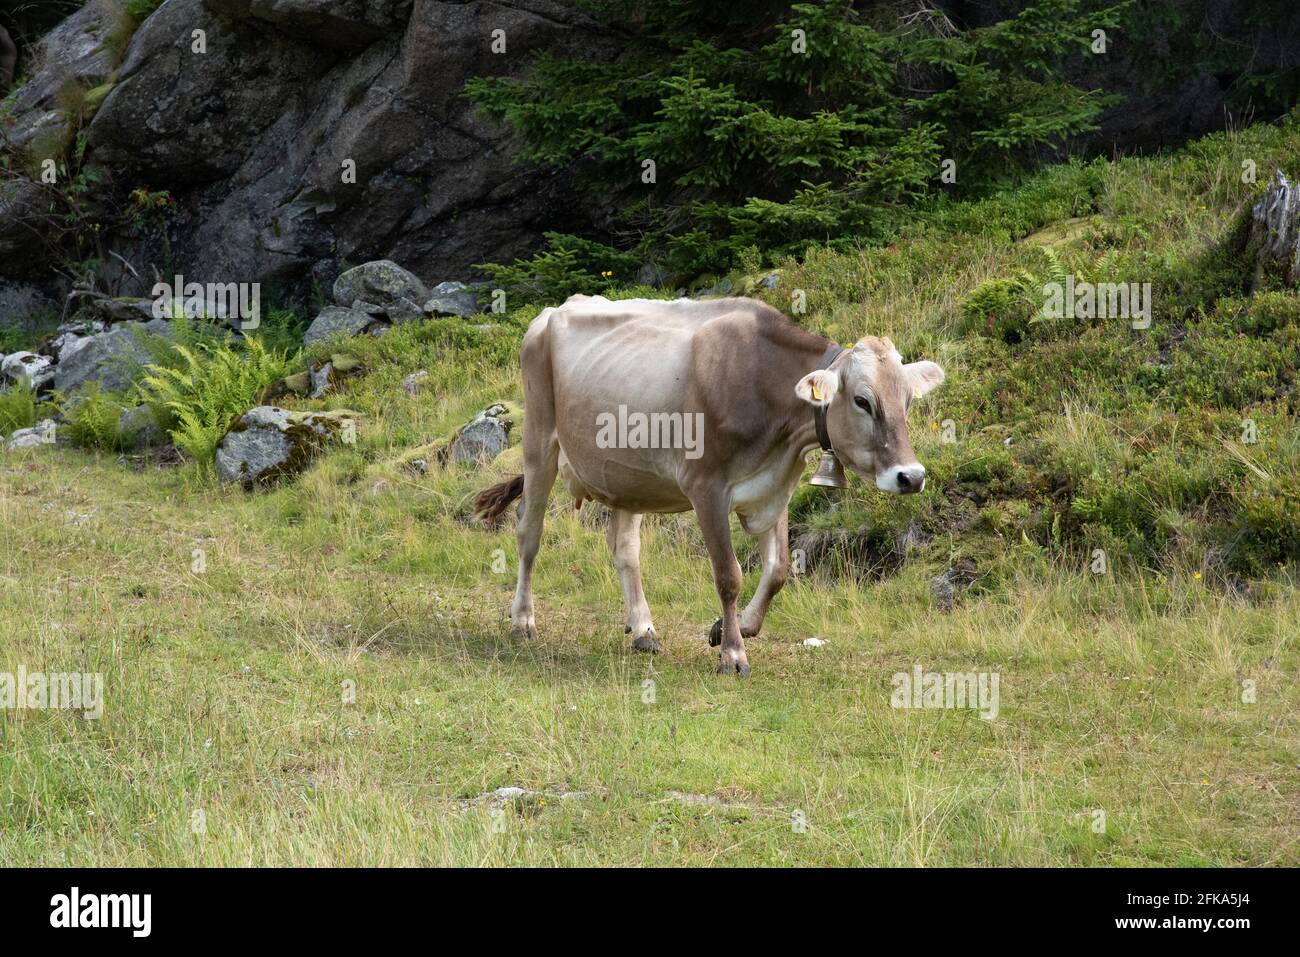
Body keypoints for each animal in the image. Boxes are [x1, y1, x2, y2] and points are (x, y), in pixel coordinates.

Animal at [474, 294, 945, 676]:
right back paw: (523, 620)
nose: (912, 476)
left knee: (625, 549)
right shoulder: (707, 488)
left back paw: (643, 629)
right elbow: (728, 575)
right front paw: (733, 655)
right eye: (863, 401)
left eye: (907, 400)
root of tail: (554, 309)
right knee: (529, 533)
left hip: (626, 474)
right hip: (539, 439)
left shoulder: (774, 487)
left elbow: (778, 571)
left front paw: (733, 628)